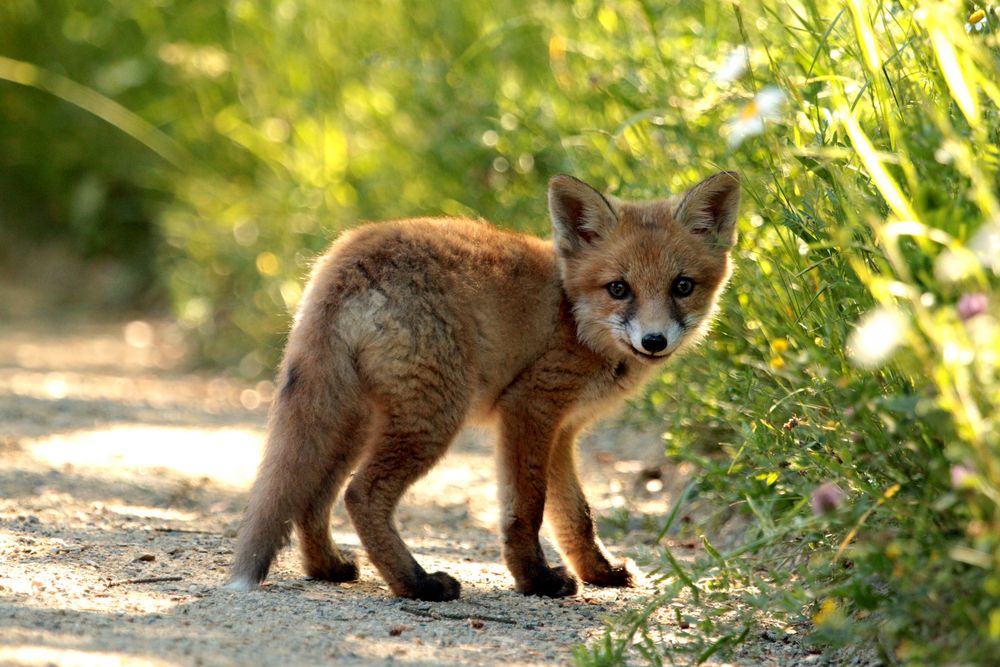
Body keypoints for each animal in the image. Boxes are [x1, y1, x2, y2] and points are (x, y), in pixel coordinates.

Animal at [226, 171, 740, 601]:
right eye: (619, 288)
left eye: (682, 286)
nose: (654, 341)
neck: (573, 316)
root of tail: (346, 258)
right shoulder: (529, 409)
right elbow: (527, 510)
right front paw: (535, 581)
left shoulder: (562, 432)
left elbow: (576, 516)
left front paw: (599, 573)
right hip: (433, 417)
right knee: (360, 495)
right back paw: (416, 585)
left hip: (355, 419)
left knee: (313, 497)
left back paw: (328, 568)